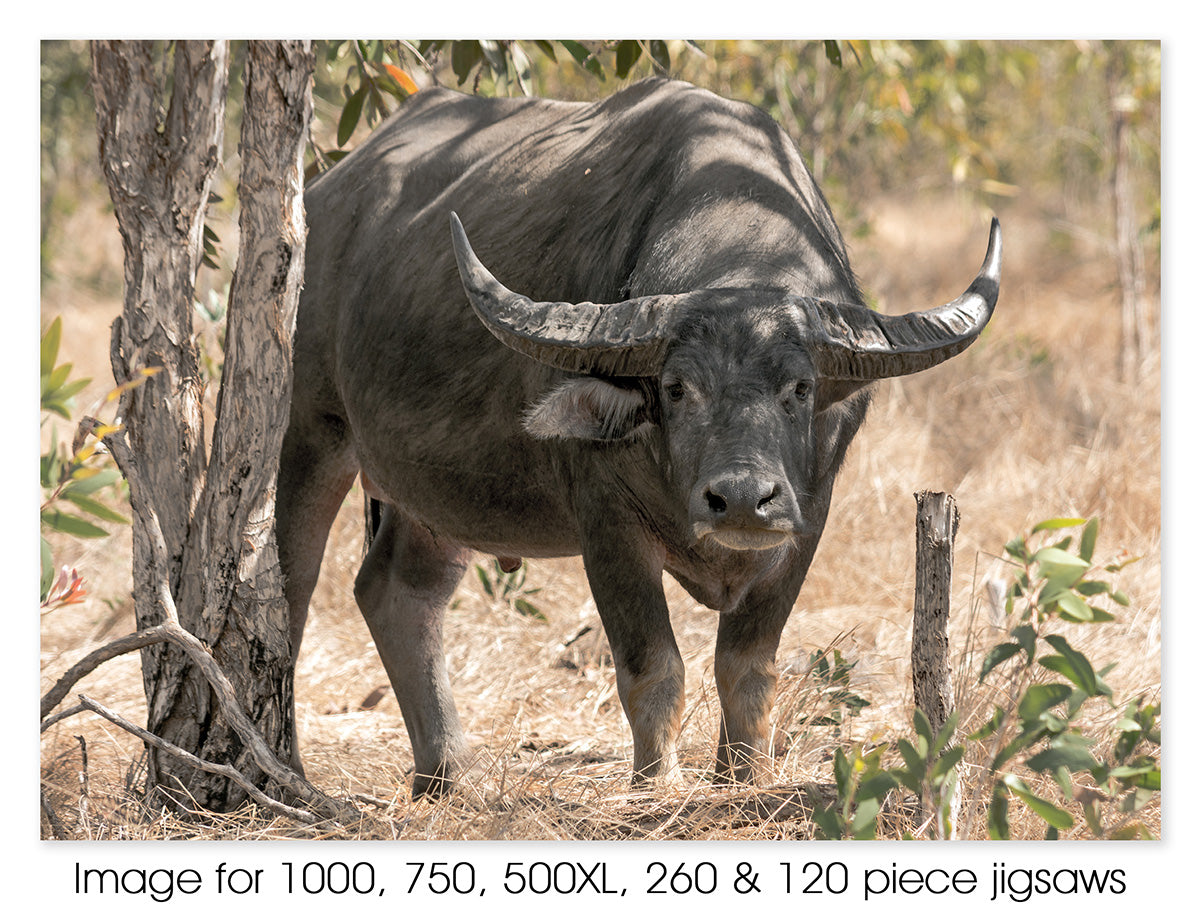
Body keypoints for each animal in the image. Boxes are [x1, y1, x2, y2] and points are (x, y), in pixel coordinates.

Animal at [277, 77, 1001, 797]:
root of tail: (328, 199)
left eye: (798, 388)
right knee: (292, 583)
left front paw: (742, 777)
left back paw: (448, 771)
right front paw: (656, 785)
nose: (742, 500)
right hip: (310, 434)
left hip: (433, 493)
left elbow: (748, 667)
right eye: (678, 388)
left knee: (398, 592)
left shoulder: (806, 520)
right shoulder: (607, 522)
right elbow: (655, 669)